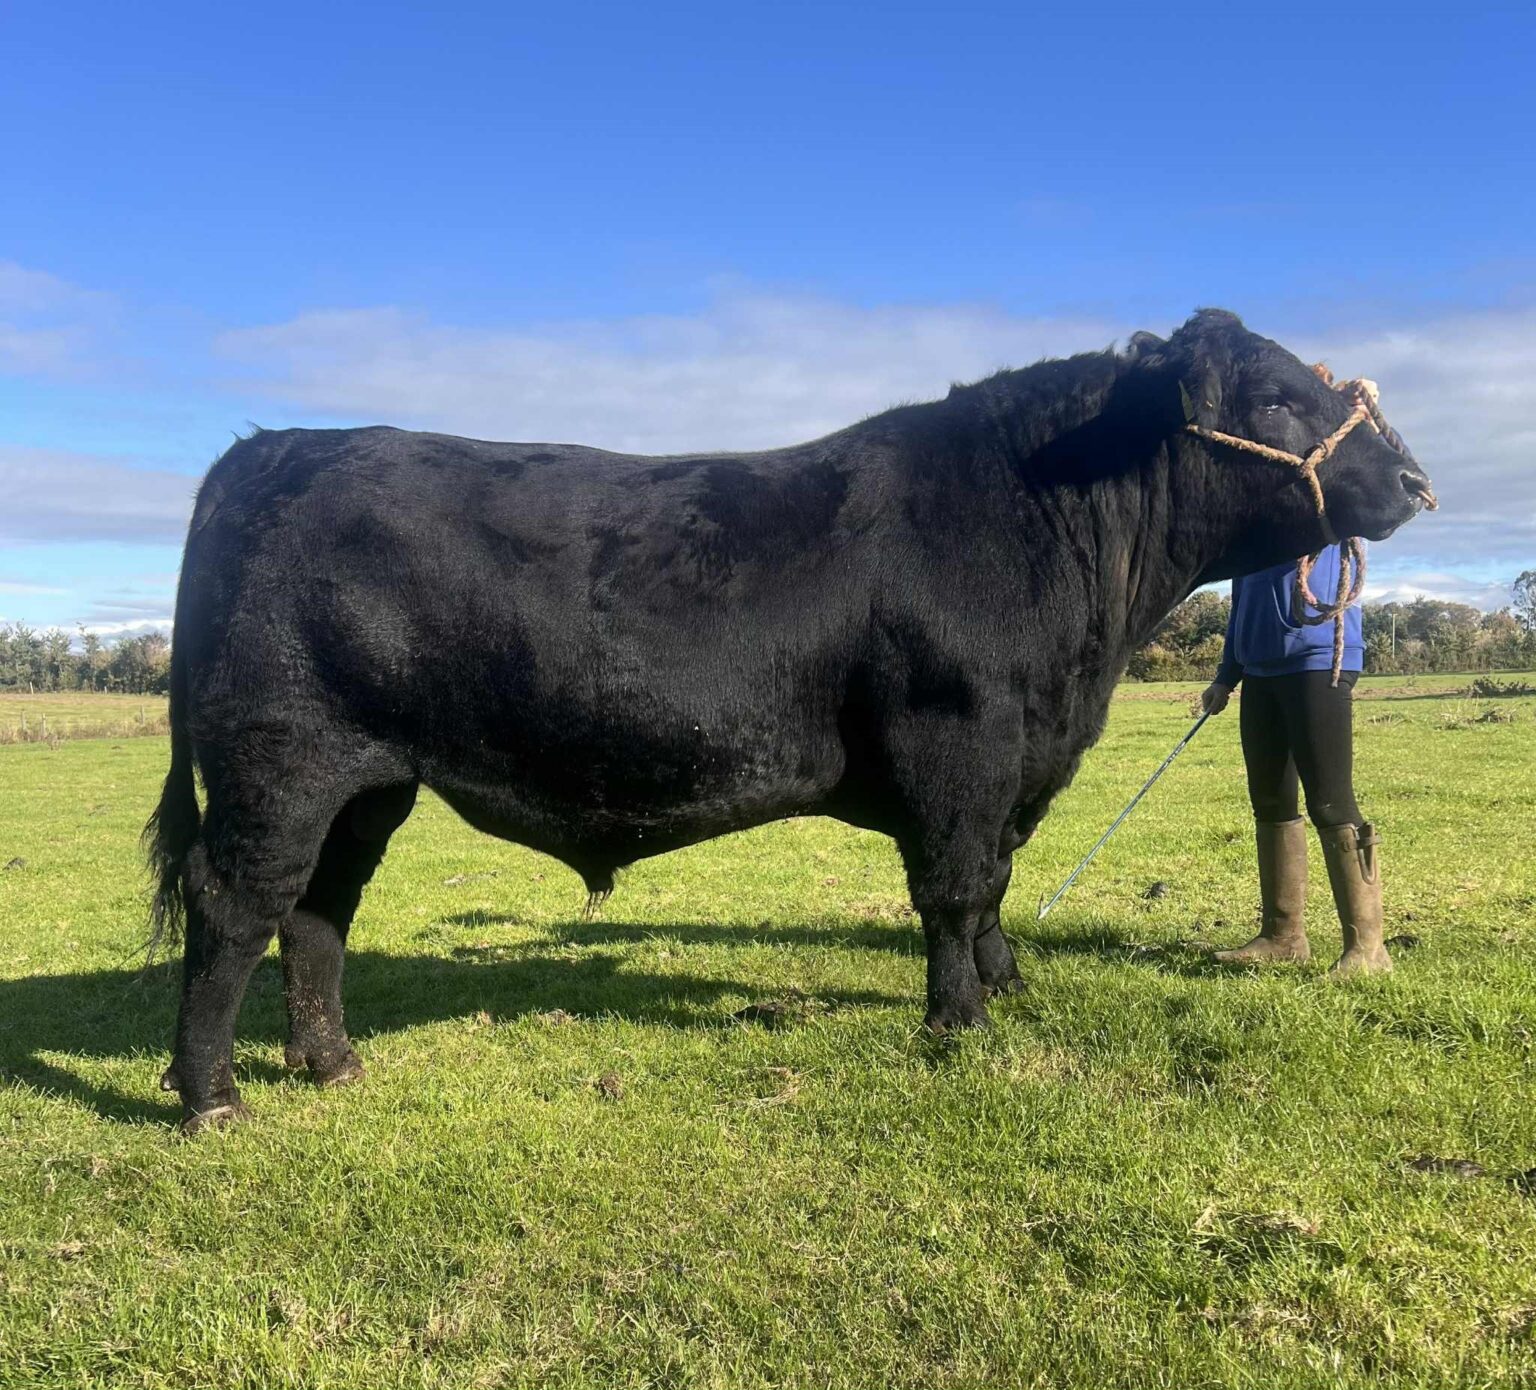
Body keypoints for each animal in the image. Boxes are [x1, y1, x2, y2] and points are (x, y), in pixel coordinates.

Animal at [146, 309, 1434, 1130]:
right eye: (1278, 394)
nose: (1416, 482)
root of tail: (273, 449)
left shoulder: (1018, 757)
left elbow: (999, 881)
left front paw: (1009, 985)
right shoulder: (959, 741)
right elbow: (956, 887)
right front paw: (958, 1022)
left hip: (369, 779)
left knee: (318, 910)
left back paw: (332, 1065)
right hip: (283, 759)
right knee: (237, 904)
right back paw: (212, 1098)